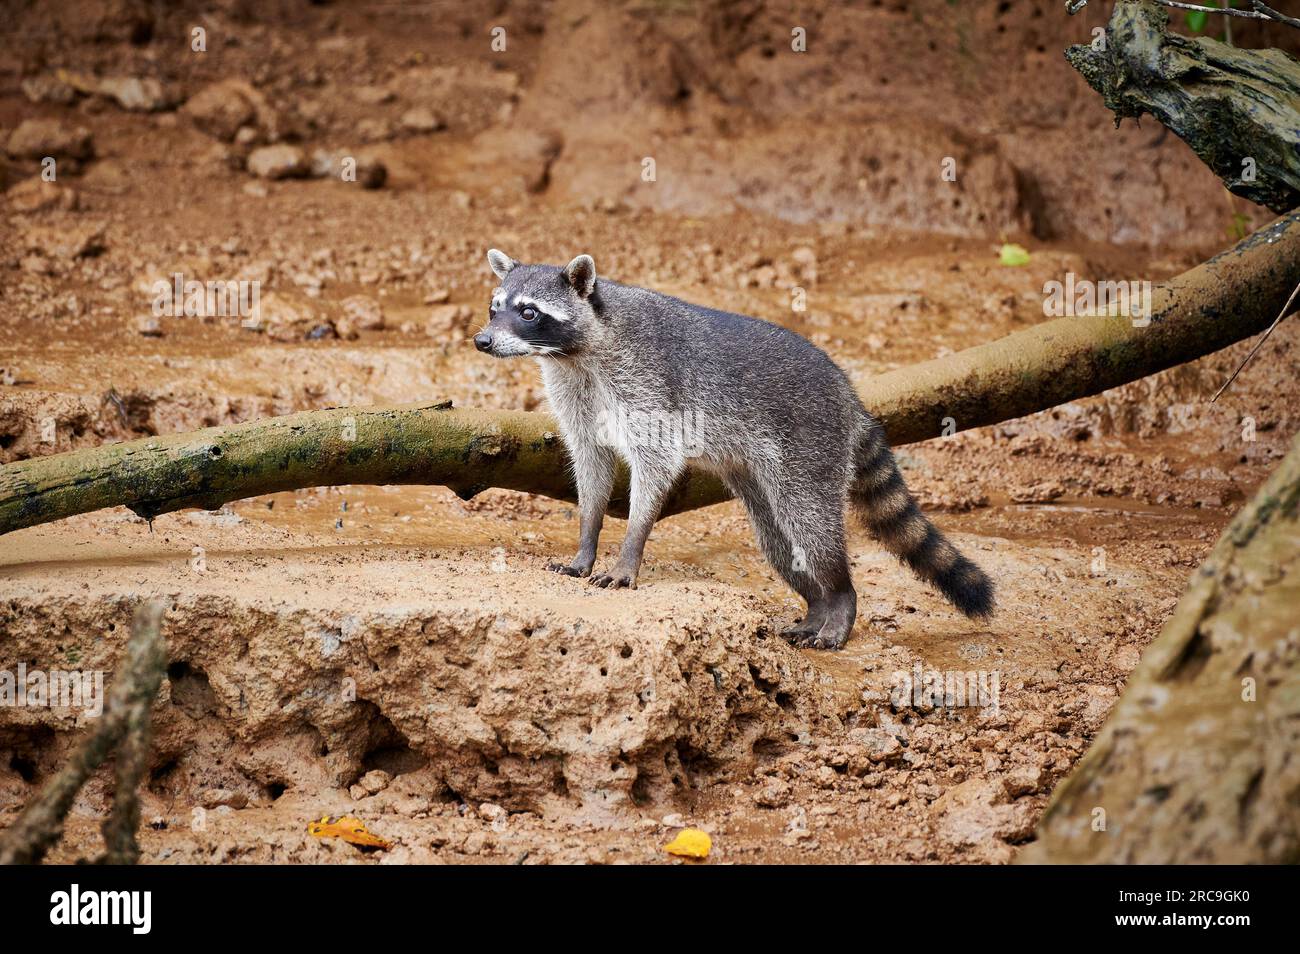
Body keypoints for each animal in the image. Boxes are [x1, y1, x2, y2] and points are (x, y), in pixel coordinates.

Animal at [475, 249, 994, 649]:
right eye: (494, 307)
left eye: (528, 312)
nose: (482, 339)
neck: (577, 352)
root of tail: (849, 395)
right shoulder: (576, 396)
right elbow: (592, 467)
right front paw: (587, 541)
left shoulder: (648, 382)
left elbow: (656, 466)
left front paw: (629, 552)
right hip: (759, 475)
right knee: (781, 544)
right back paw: (816, 604)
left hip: (810, 446)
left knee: (810, 527)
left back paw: (840, 600)